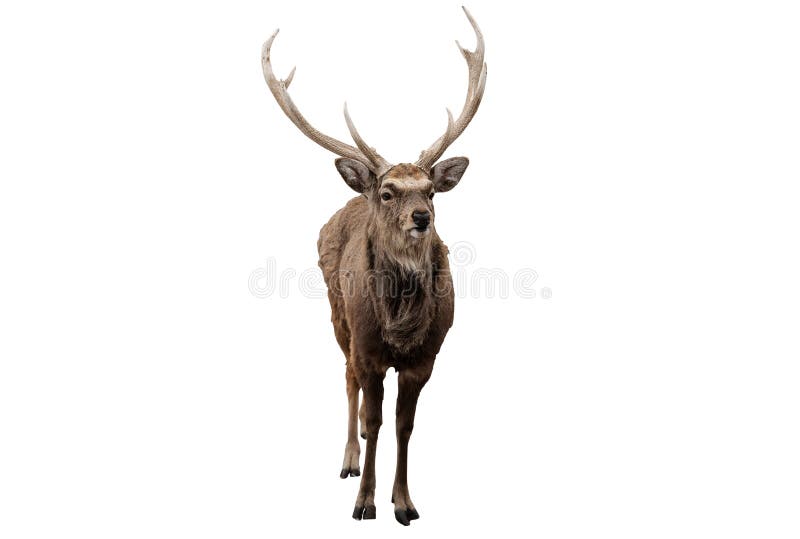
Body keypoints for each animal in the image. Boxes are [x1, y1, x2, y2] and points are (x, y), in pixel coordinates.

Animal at [261, 7, 486, 526]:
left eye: (430, 190)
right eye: (388, 192)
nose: (422, 217)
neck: (400, 329)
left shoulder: (426, 358)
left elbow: (404, 426)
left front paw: (404, 503)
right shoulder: (367, 347)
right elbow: (377, 418)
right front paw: (364, 501)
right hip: (336, 311)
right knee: (347, 380)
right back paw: (349, 456)